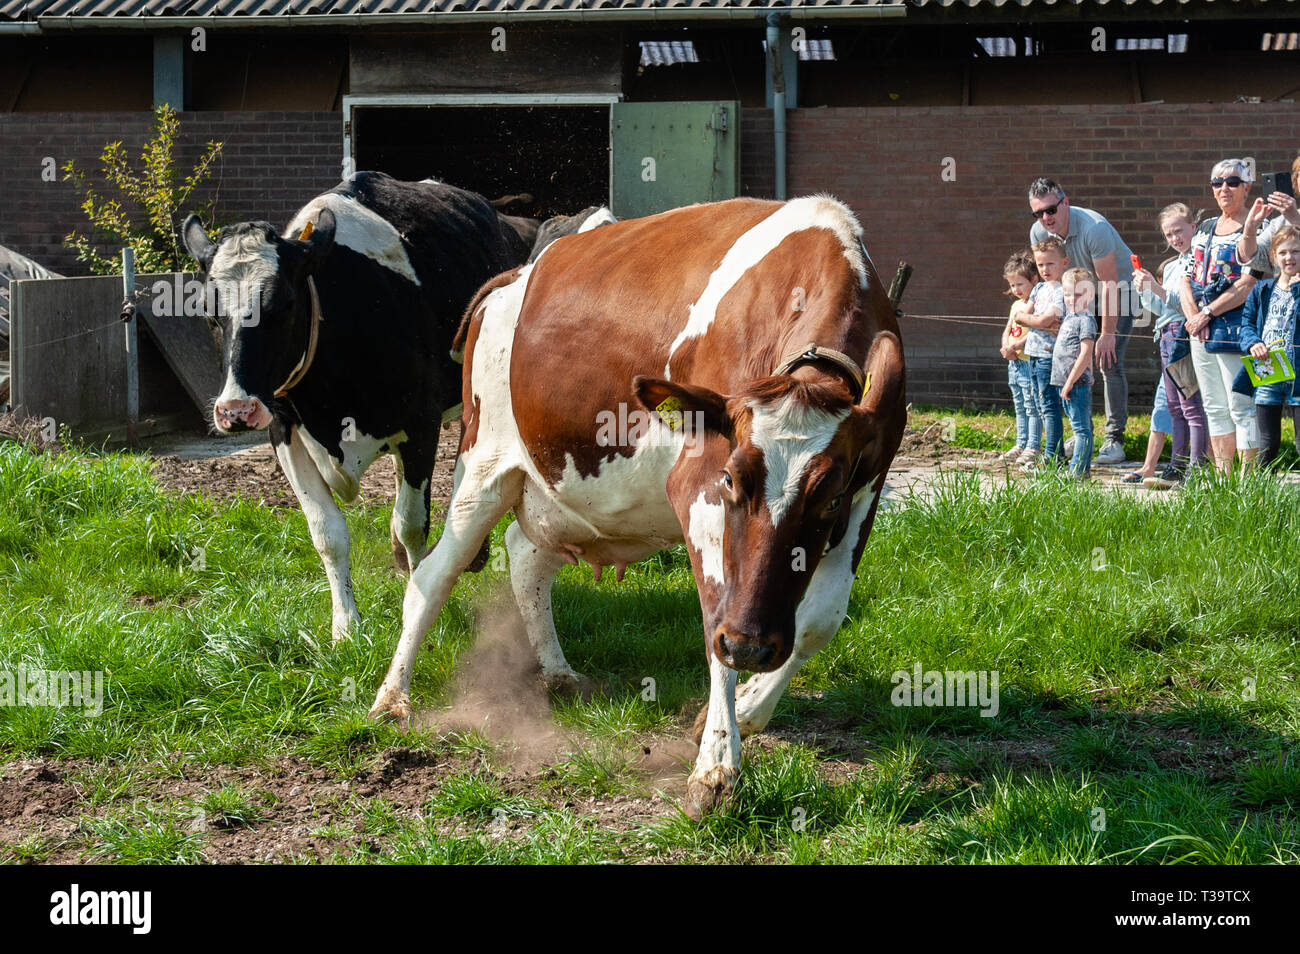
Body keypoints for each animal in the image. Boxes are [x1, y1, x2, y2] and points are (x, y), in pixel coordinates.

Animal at [181, 171, 533, 642]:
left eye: (284, 305)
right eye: (208, 311)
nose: (236, 410)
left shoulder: (419, 428)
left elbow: (411, 524)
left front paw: (420, 608)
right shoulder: (283, 430)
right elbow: (327, 532)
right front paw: (345, 625)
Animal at [367, 194, 906, 819]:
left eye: (831, 499)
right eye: (731, 479)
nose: (750, 645)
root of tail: (515, 276)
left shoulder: (869, 487)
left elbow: (822, 616)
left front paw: (746, 711)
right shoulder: (697, 485)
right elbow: (714, 613)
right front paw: (716, 767)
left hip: (557, 491)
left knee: (525, 557)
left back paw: (558, 673)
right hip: (485, 463)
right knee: (435, 572)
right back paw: (392, 698)